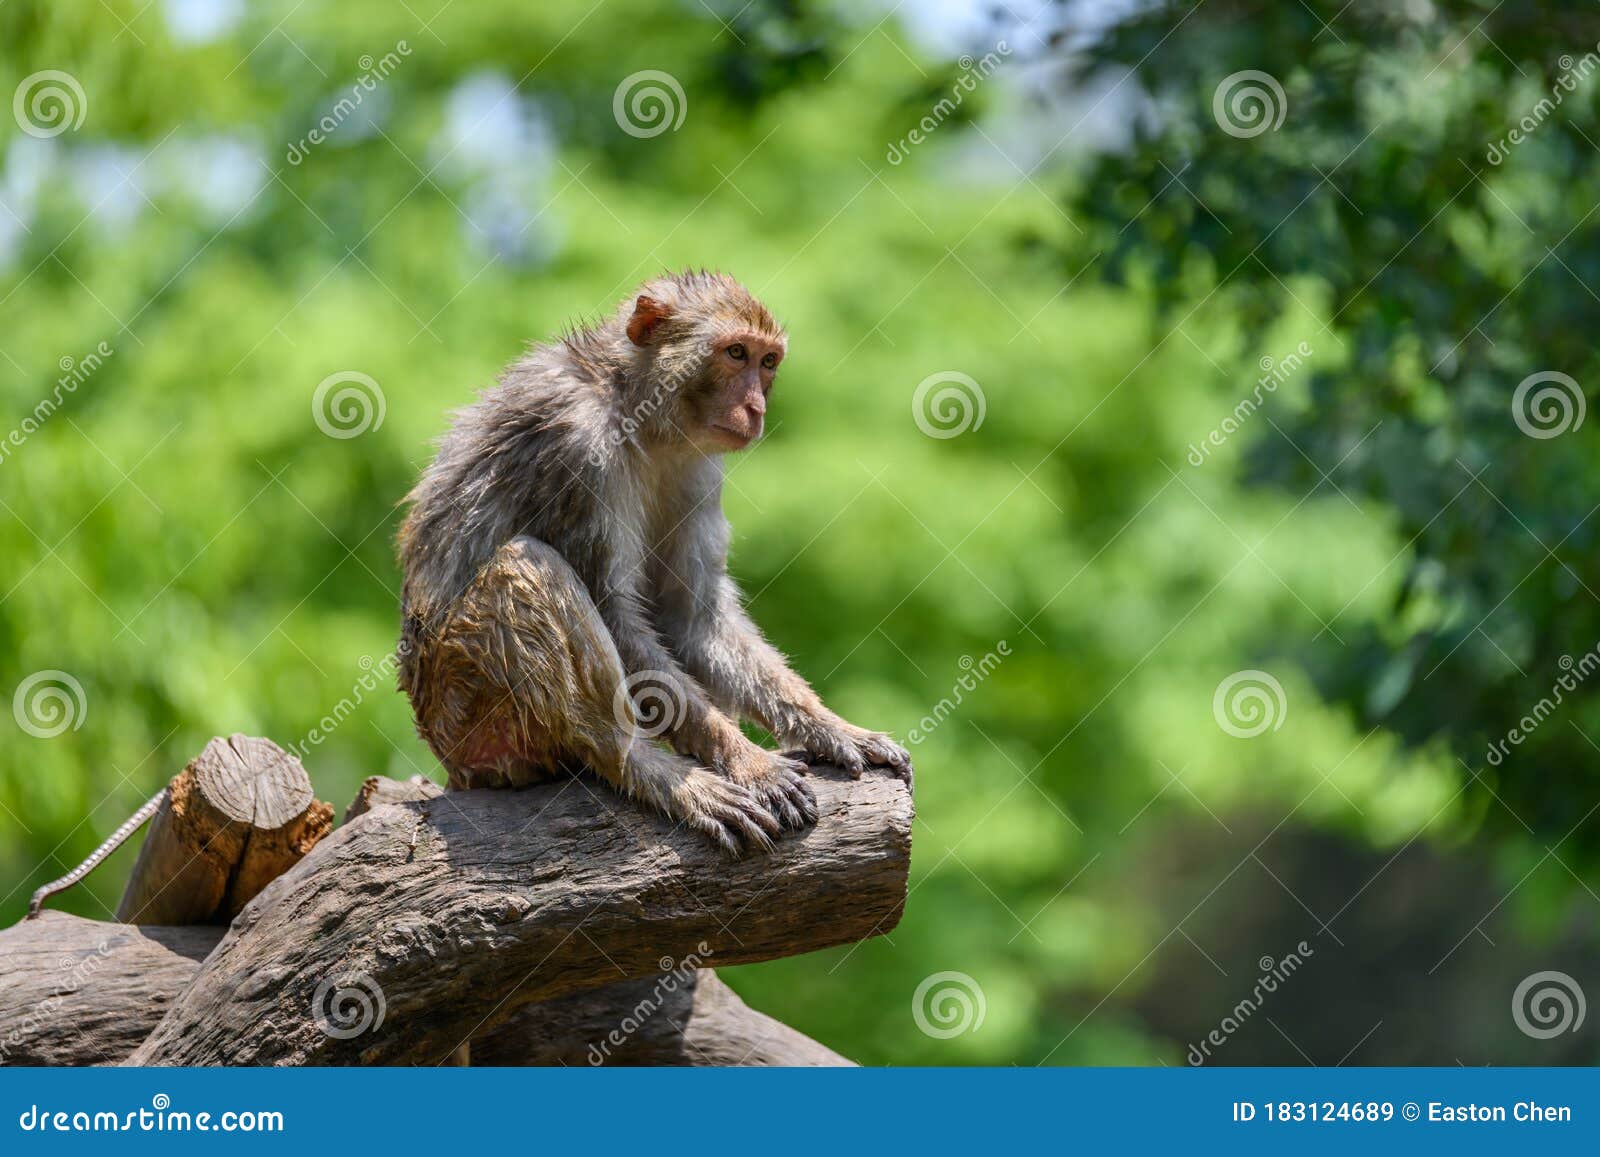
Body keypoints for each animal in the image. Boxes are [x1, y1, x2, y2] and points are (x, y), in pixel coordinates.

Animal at [396, 270, 911, 855]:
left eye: (767, 361)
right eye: (736, 353)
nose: (756, 408)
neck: (636, 411)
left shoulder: (700, 468)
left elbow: (689, 621)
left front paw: (830, 728)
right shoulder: (575, 444)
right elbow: (618, 617)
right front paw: (749, 762)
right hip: (464, 710)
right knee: (529, 567)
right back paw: (645, 770)